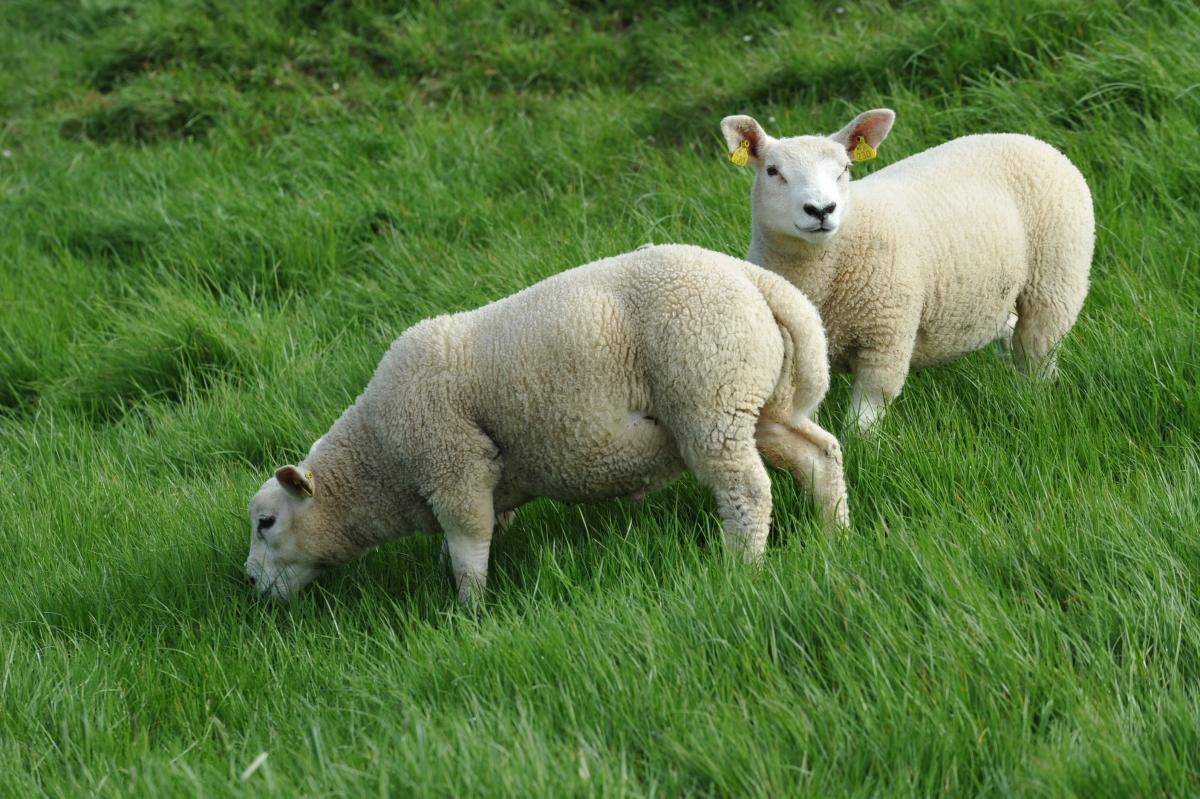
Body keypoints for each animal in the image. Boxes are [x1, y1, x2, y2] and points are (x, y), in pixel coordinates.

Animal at [244, 244, 848, 605]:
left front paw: (468, 613)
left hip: (709, 397)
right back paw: (834, 534)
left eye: (267, 522)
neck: (376, 461)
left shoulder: (453, 468)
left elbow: (468, 550)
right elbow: (467, 543)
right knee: (820, 454)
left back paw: (742, 567)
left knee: (746, 490)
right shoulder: (481, 485)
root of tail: (752, 279)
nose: (248, 582)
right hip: (759, 403)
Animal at [720, 109, 1094, 431]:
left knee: (1039, 347)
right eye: (772, 171)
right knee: (1012, 332)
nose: (822, 209)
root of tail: (1028, 139)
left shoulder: (886, 336)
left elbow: (865, 418)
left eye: (844, 169)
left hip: (1056, 276)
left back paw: (1034, 397)